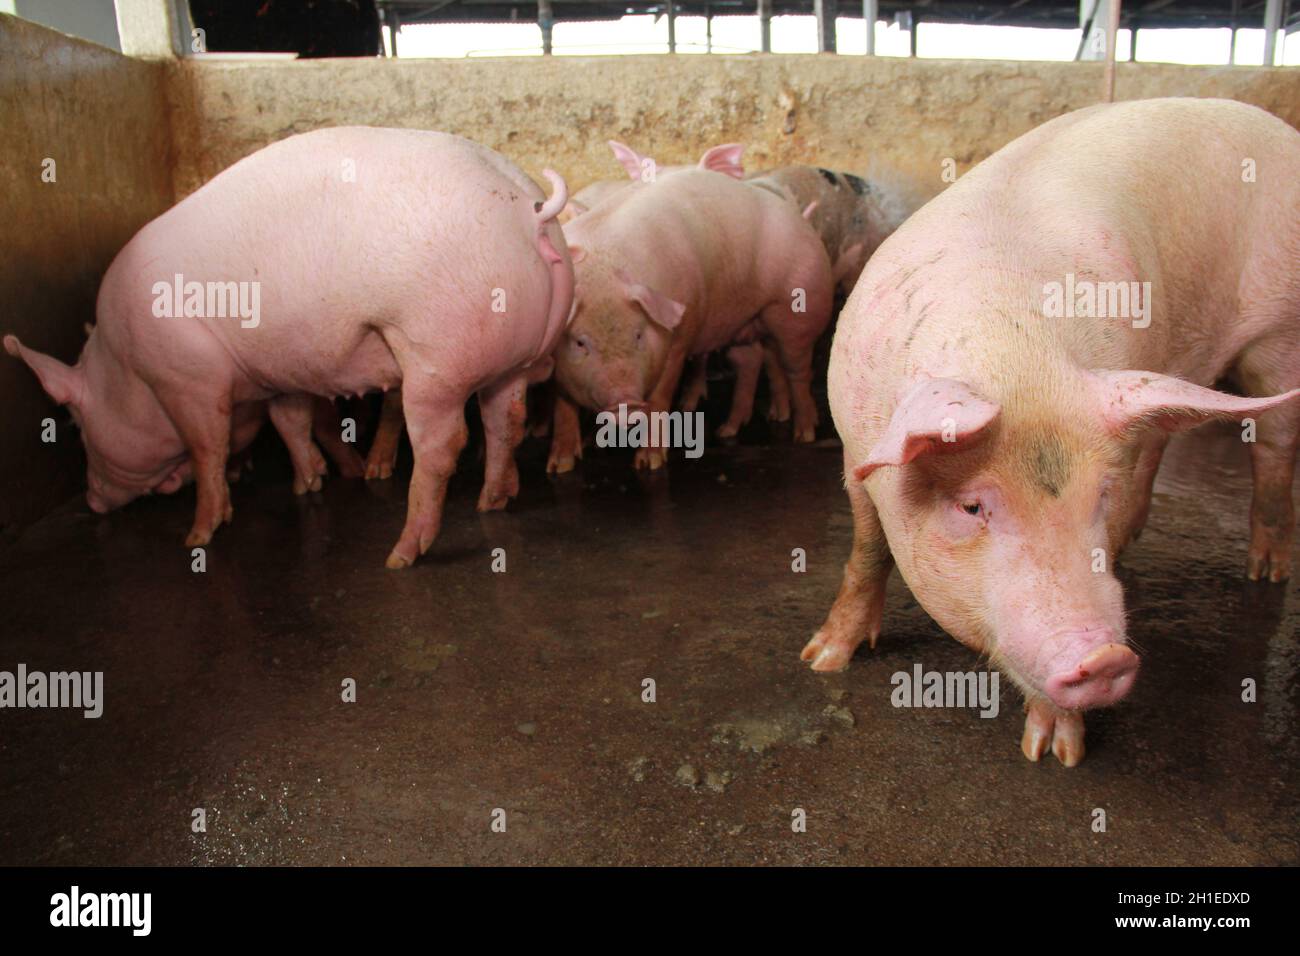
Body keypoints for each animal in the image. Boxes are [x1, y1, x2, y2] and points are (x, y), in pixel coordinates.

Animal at [6, 127, 573, 569]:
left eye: (76, 423)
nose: (93, 500)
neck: (126, 368)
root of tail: (530, 212)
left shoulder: (188, 375)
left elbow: (207, 448)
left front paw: (197, 535)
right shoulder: (279, 374)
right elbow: (289, 423)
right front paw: (309, 484)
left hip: (437, 353)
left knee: (443, 445)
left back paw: (400, 554)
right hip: (510, 361)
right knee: (507, 420)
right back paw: (490, 503)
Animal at [549, 165, 834, 471]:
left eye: (638, 334)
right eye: (580, 342)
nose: (625, 402)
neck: (602, 268)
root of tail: (804, 223)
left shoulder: (681, 336)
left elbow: (660, 398)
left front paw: (649, 462)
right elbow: (562, 406)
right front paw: (559, 465)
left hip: (798, 313)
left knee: (798, 370)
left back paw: (803, 433)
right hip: (742, 320)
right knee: (755, 360)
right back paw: (730, 429)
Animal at [805, 98, 1300, 766]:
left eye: (1098, 499)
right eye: (971, 506)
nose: (1106, 657)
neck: (1015, 356)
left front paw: (1054, 756)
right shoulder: (855, 452)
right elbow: (866, 551)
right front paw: (822, 660)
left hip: (1282, 327)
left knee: (1273, 446)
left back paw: (1268, 573)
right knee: (1161, 439)